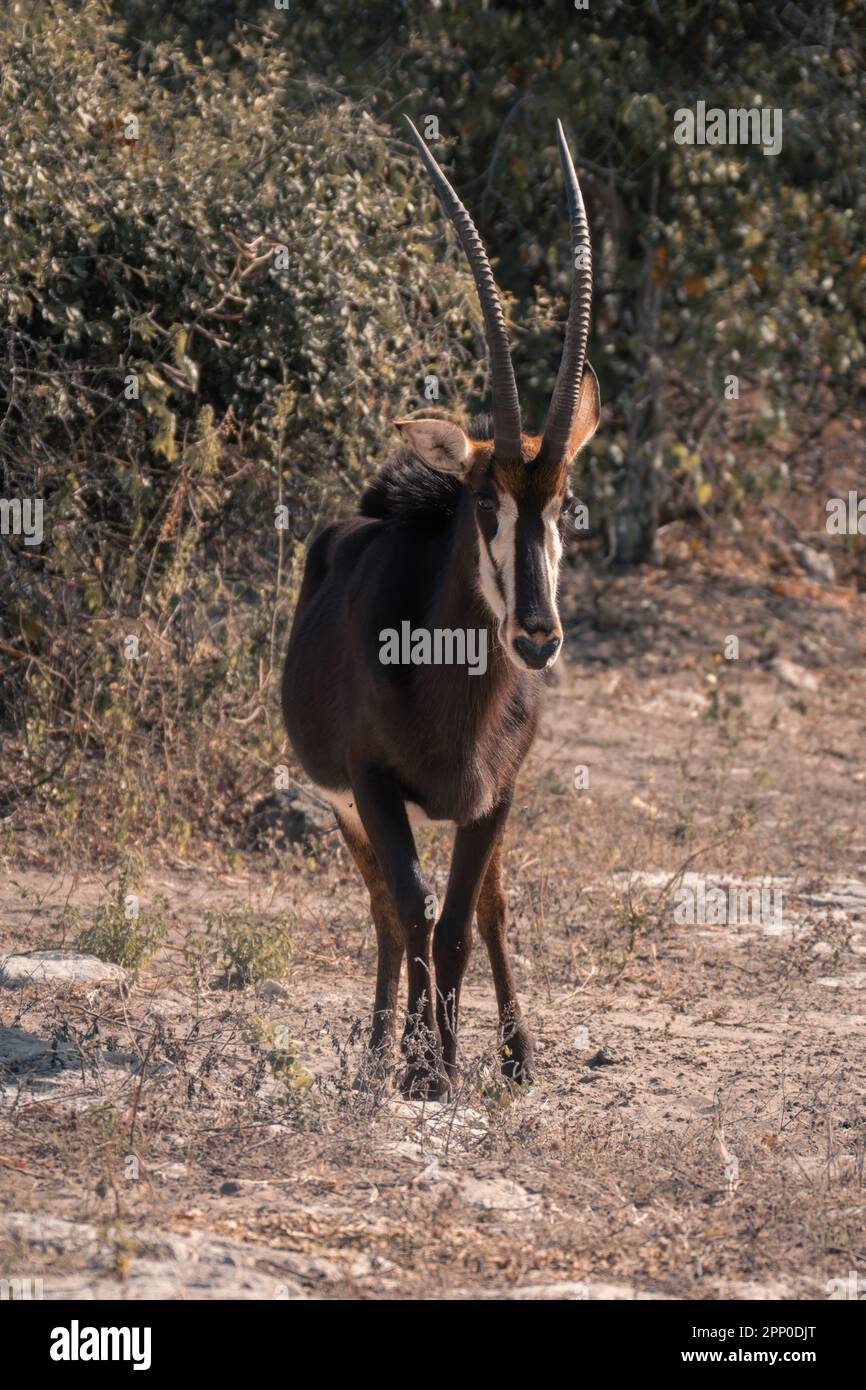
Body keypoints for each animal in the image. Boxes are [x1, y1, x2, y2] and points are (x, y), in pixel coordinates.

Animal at [282, 118, 600, 1097]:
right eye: (485, 501)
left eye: (565, 502)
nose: (537, 636)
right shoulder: (372, 784)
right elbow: (416, 906)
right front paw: (419, 1065)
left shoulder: (494, 794)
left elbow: (463, 917)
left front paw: (451, 1065)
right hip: (343, 806)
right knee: (386, 909)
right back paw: (379, 1048)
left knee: (484, 907)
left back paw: (516, 1052)